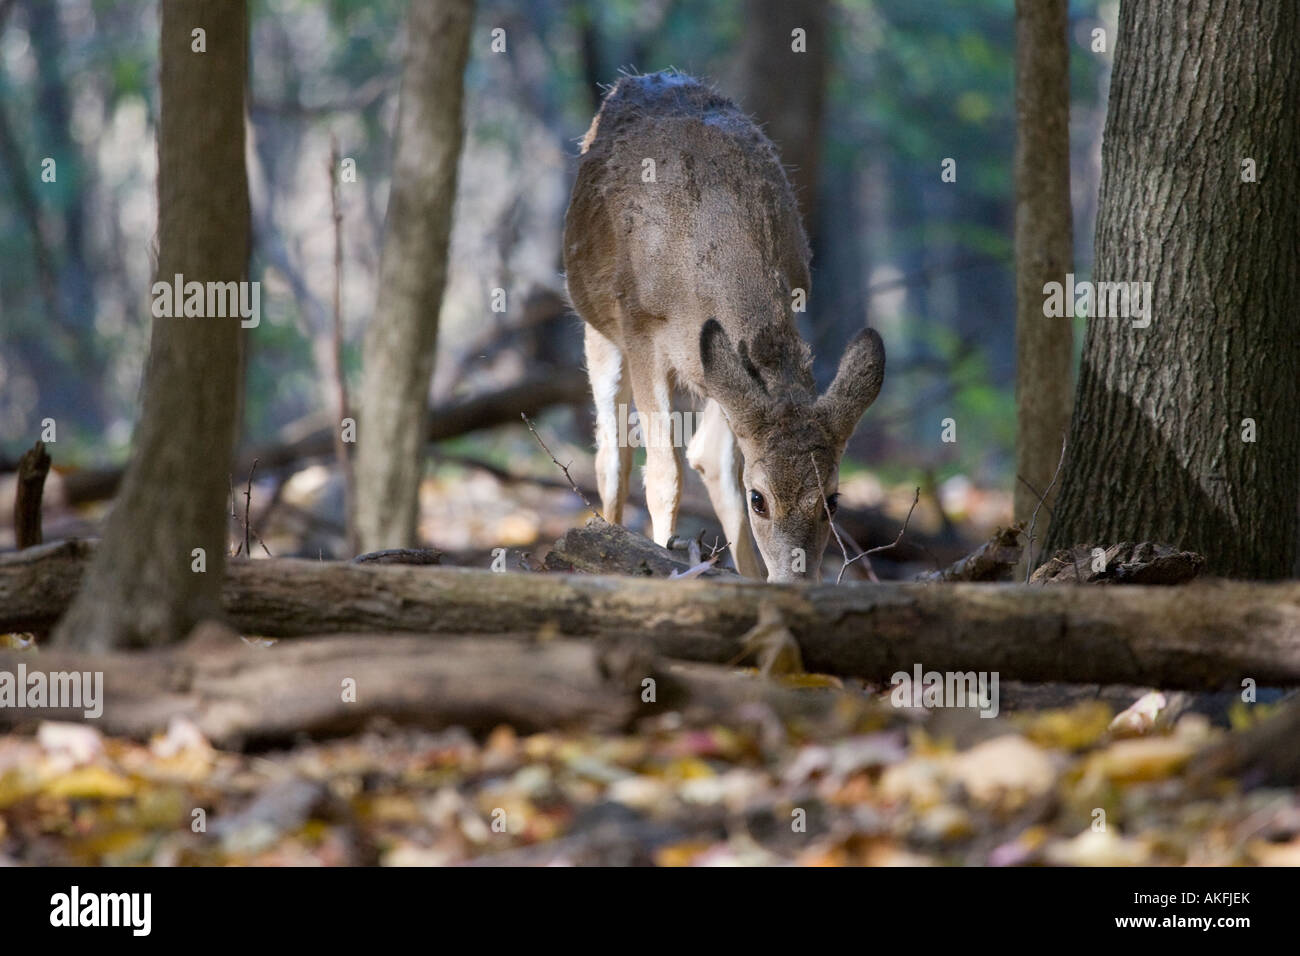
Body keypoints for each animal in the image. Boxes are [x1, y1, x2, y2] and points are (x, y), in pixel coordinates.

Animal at [563, 71, 885, 583]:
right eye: (760, 500)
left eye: (832, 502)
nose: (795, 580)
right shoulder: (640, 329)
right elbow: (664, 474)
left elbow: (704, 456)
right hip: (597, 325)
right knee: (611, 455)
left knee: (706, 452)